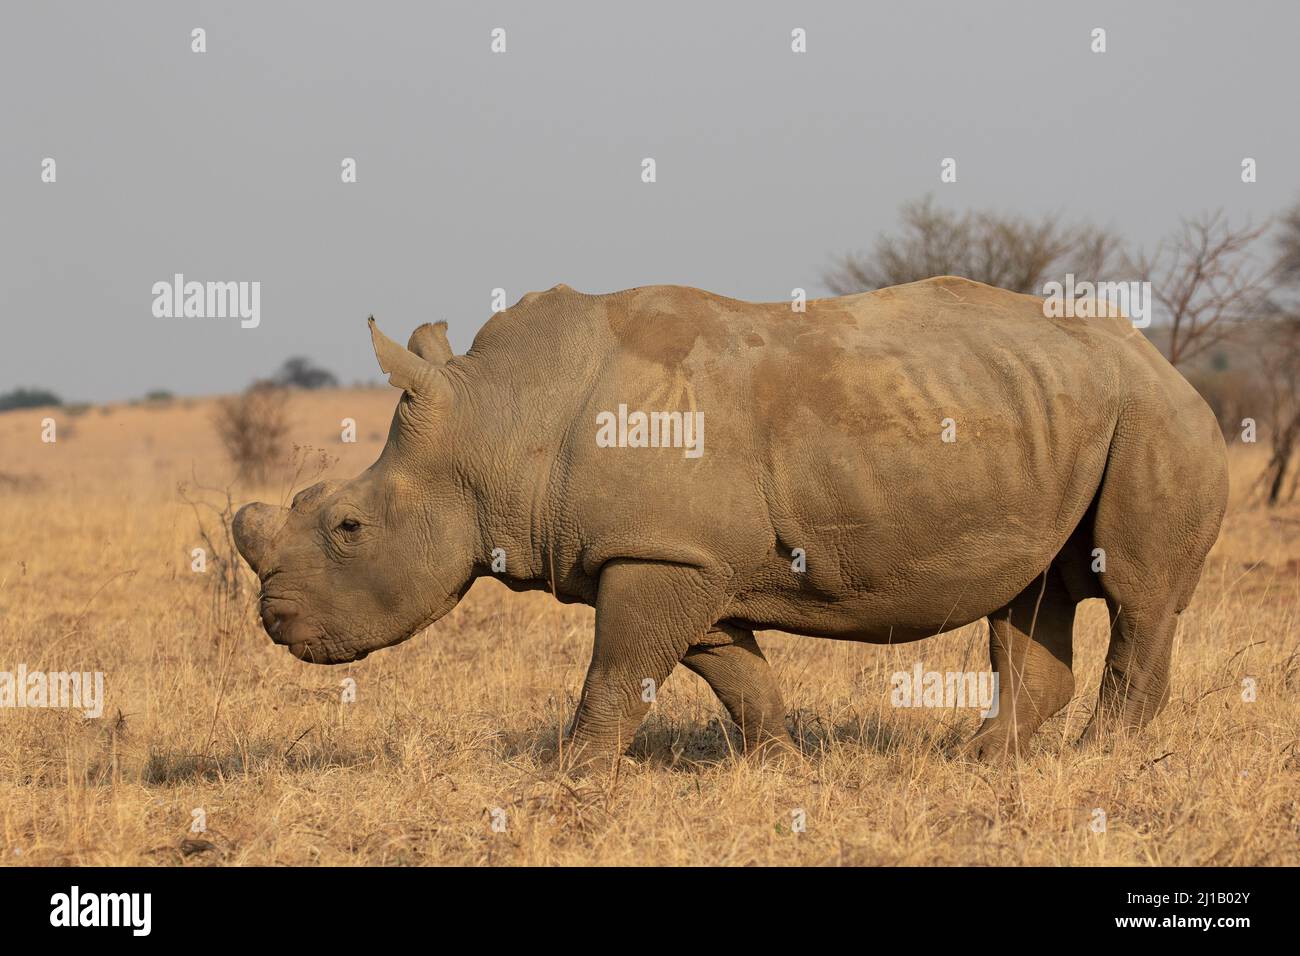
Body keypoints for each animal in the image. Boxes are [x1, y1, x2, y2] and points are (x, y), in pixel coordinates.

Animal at [232, 277, 1228, 763]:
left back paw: (1094, 763)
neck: (503, 416)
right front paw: (779, 767)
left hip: (1156, 421)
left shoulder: (657, 556)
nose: (274, 623)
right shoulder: (685, 560)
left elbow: (616, 675)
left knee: (1136, 597)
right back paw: (982, 762)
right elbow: (734, 675)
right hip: (1059, 414)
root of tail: (1167, 362)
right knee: (1029, 596)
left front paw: (565, 777)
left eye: (348, 527)